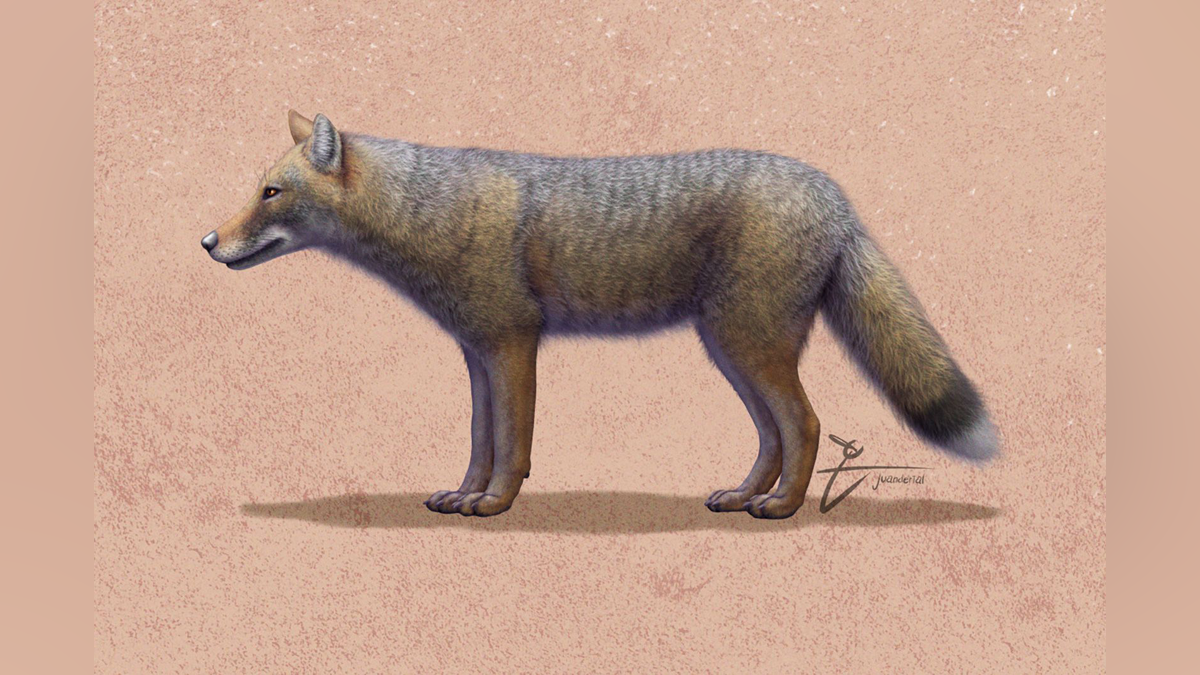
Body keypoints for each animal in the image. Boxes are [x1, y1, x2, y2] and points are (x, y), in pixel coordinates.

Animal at [202, 110, 998, 519]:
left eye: (271, 192)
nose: (208, 242)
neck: (430, 212)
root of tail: (833, 192)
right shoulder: (477, 351)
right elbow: (479, 438)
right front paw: (463, 494)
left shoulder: (513, 344)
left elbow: (512, 443)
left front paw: (494, 504)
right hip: (731, 350)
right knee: (774, 433)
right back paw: (746, 495)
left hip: (748, 345)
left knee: (804, 424)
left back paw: (781, 507)